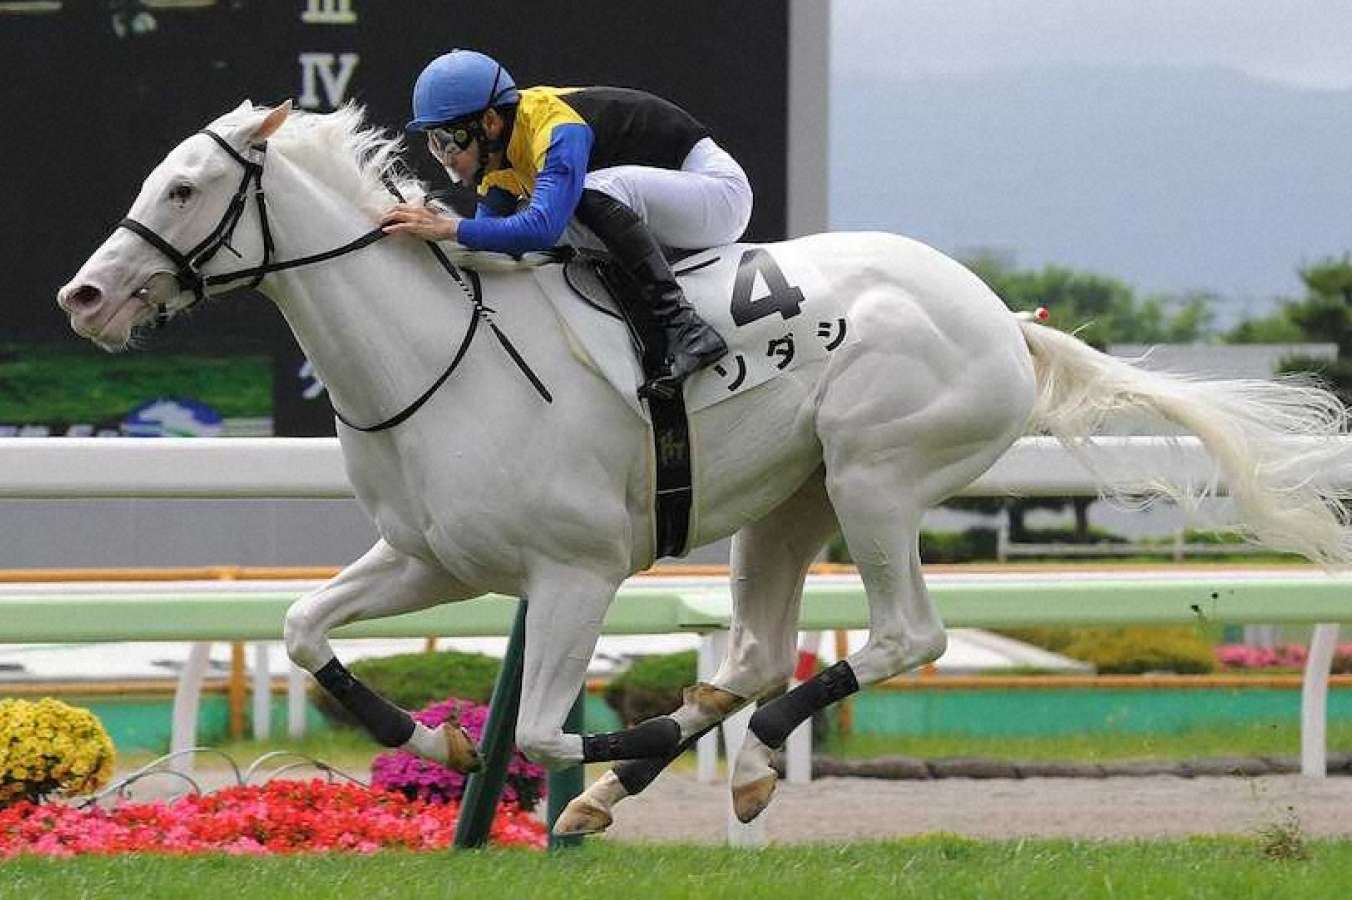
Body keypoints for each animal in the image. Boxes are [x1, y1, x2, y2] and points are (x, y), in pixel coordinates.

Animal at [59, 101, 1352, 835]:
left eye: (184, 186)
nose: (84, 298)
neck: (434, 354)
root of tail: (998, 314)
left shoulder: (573, 572)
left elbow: (542, 733)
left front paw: (582, 757)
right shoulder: (430, 559)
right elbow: (302, 629)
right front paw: (435, 743)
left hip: (875, 476)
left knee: (899, 637)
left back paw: (703, 759)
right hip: (790, 502)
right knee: (760, 653)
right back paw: (703, 771)